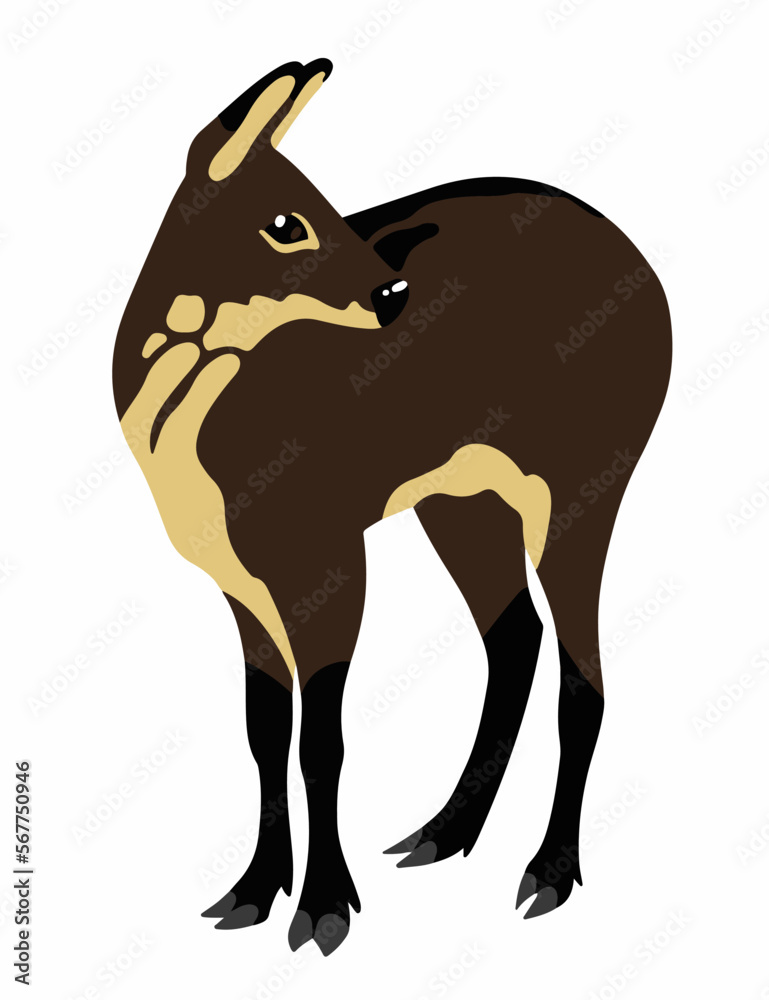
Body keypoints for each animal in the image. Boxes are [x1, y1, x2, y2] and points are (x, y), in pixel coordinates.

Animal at [112, 58, 672, 956]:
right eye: (286, 221)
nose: (390, 292)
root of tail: (641, 263)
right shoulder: (237, 582)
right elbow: (263, 730)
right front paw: (250, 893)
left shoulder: (328, 557)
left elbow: (321, 739)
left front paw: (323, 909)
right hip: (461, 499)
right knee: (515, 636)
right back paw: (443, 833)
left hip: (584, 483)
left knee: (581, 673)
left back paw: (548, 874)